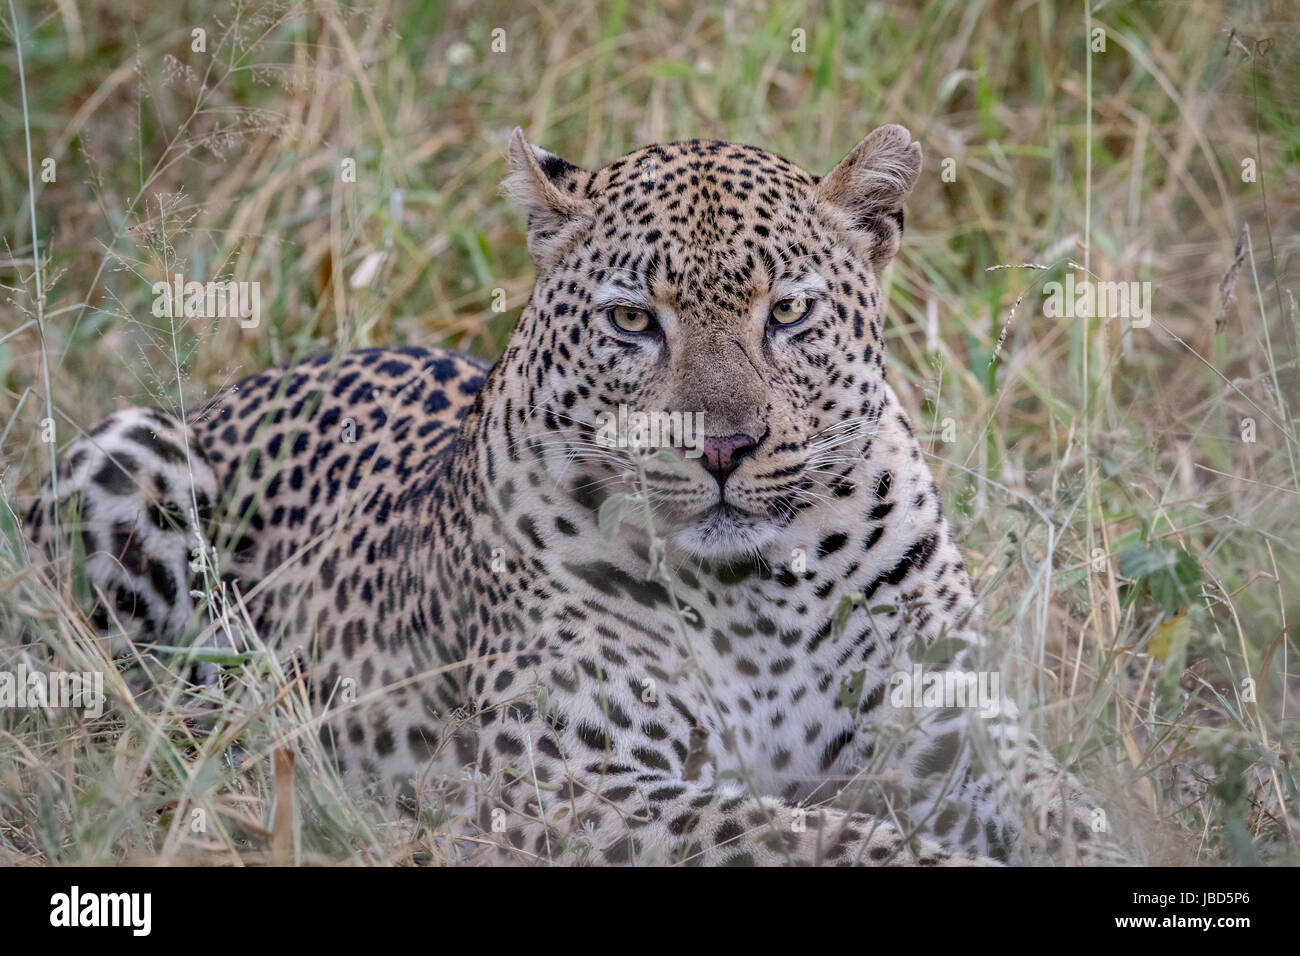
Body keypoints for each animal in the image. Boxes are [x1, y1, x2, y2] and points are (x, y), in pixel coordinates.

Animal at [26, 125, 1128, 866]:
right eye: (634, 320)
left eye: (788, 313)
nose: (723, 445)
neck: (762, 586)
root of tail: (241, 384)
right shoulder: (579, 786)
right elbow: (816, 836)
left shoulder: (951, 730)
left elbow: (1059, 802)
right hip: (131, 455)